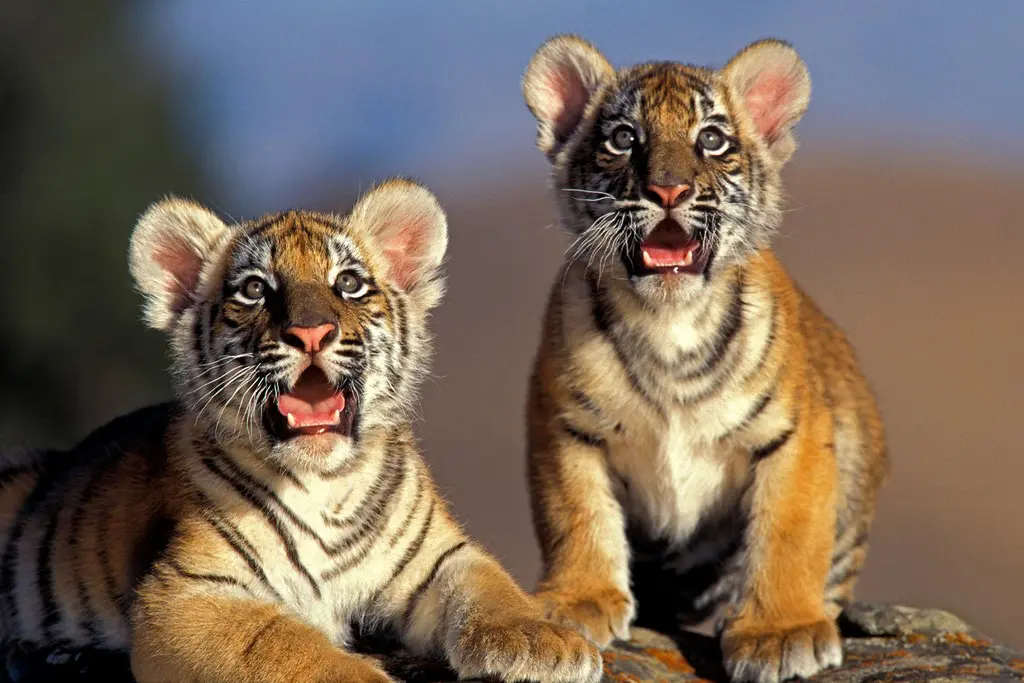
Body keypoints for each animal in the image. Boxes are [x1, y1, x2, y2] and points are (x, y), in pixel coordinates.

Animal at [0, 179, 603, 683]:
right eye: (253, 290)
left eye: (350, 283)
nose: (311, 333)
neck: (326, 485)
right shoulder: (187, 594)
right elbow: (282, 645)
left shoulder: (435, 556)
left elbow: (490, 588)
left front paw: (547, 640)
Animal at [520, 35, 888, 683]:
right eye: (624, 138)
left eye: (711, 139)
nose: (668, 191)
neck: (668, 324)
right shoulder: (564, 425)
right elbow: (577, 515)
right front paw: (576, 601)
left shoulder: (793, 434)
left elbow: (789, 532)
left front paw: (780, 631)